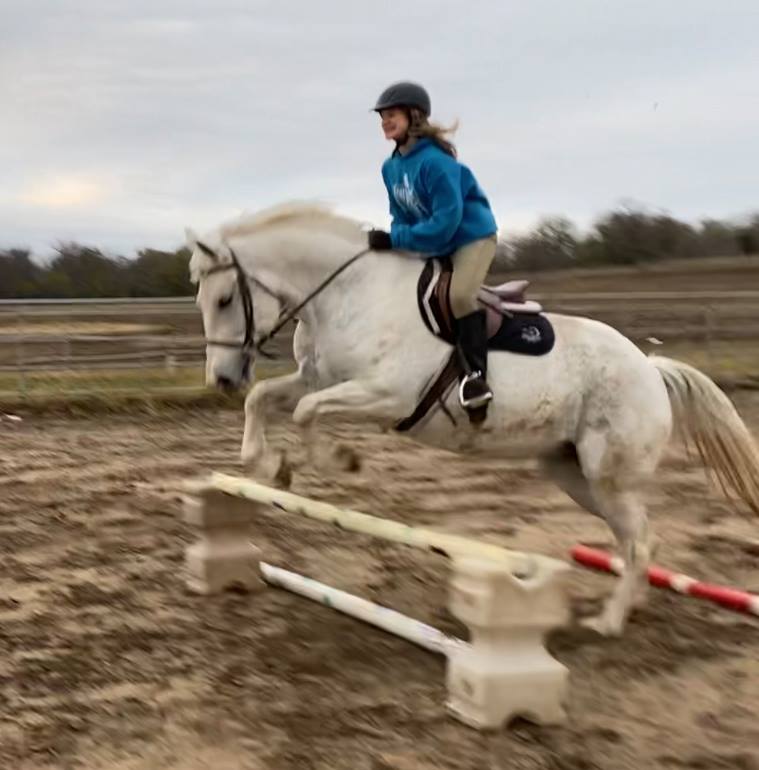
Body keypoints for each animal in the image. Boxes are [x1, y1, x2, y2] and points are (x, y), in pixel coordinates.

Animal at [185, 201, 759, 636]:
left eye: (225, 298)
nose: (222, 378)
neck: (349, 297)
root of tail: (650, 367)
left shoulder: (386, 397)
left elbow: (306, 414)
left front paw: (340, 460)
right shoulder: (318, 380)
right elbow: (264, 400)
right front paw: (271, 466)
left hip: (609, 475)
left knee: (639, 541)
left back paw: (610, 621)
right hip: (572, 472)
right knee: (634, 540)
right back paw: (629, 603)